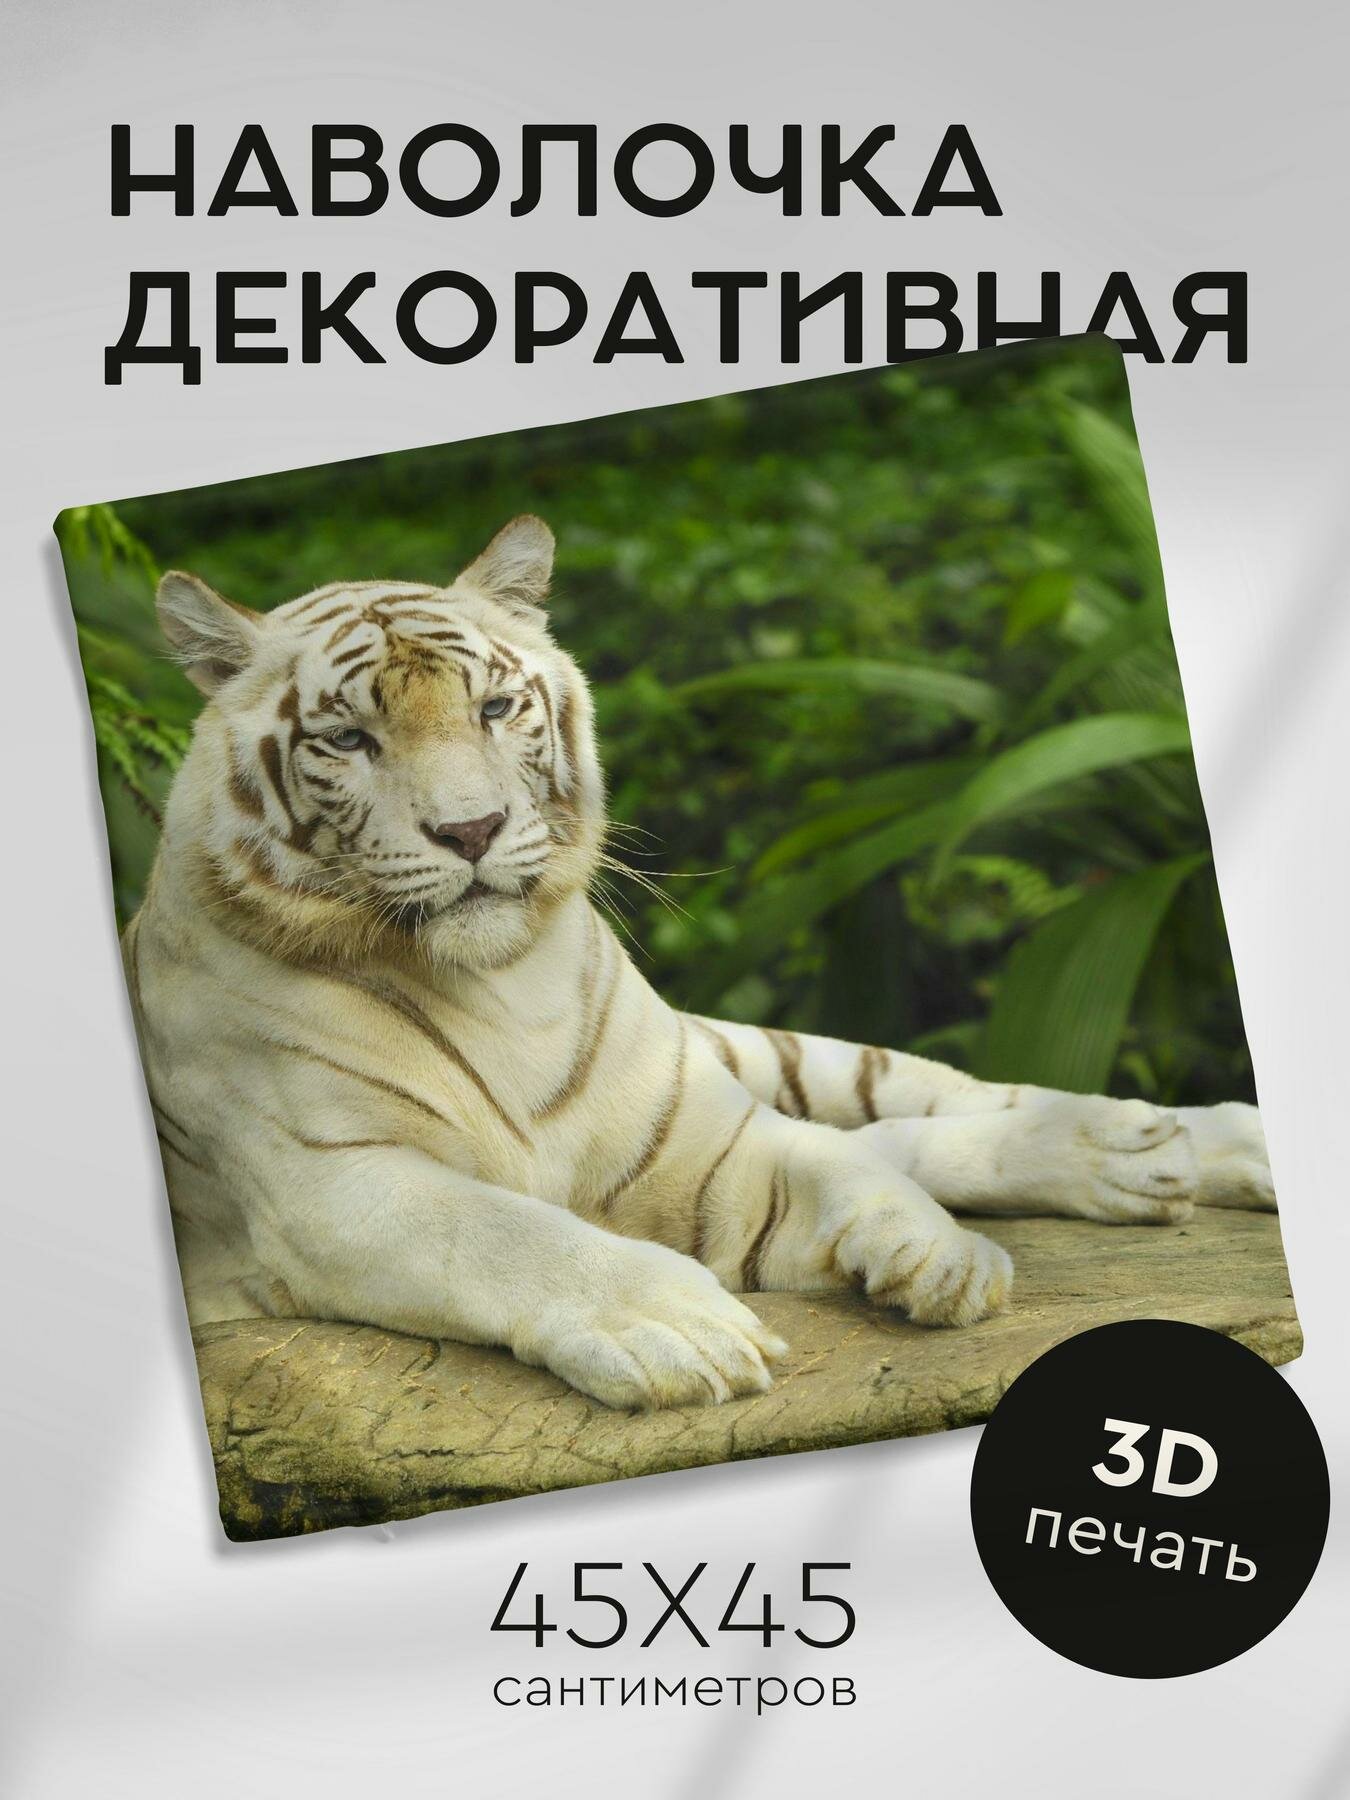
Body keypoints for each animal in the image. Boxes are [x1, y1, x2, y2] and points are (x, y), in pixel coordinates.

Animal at [124, 513, 1276, 1410]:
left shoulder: (697, 1141)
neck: (498, 987)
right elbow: (505, 1231)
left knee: (909, 1100)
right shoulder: (333, 1187)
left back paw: (1171, 1142)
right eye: (349, 741)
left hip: (728, 1052)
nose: (472, 830)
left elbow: (830, 1161)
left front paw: (940, 1256)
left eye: (494, 708)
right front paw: (683, 1329)